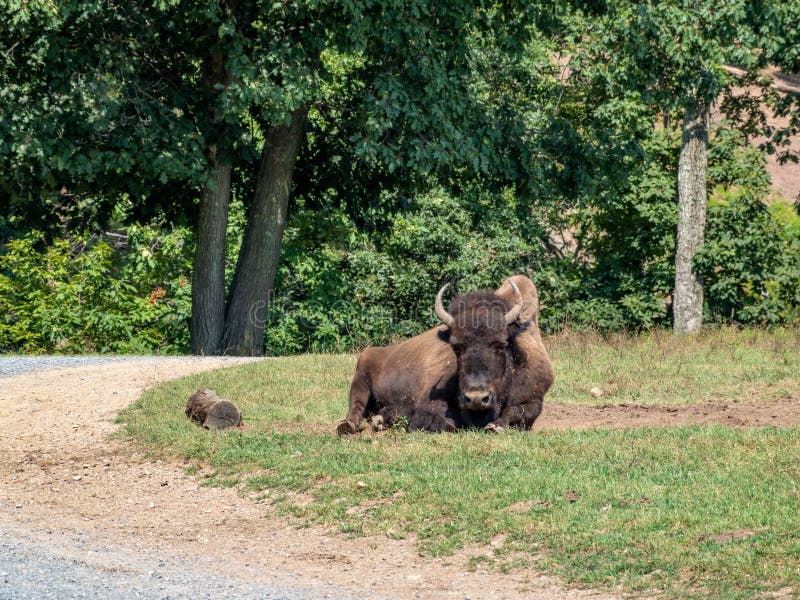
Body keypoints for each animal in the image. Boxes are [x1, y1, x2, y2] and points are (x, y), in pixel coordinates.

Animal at [336, 275, 554, 434]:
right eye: (456, 347)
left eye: (501, 345)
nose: (476, 398)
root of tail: (371, 351)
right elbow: (443, 421)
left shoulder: (534, 399)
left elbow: (517, 412)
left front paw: (495, 426)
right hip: (360, 378)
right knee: (356, 406)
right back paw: (348, 425)